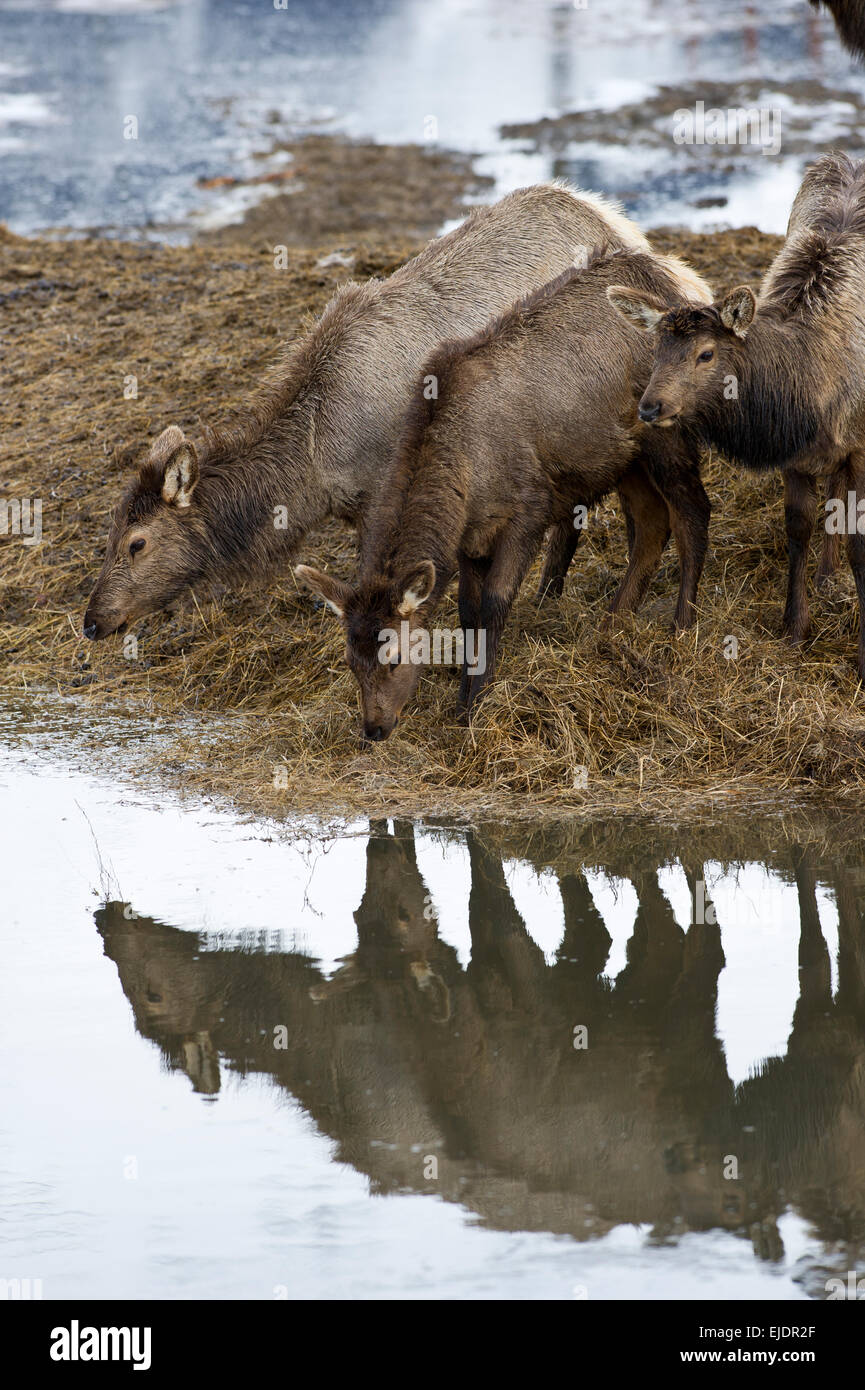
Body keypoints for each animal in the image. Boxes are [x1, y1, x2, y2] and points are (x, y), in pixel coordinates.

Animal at [82, 181, 704, 643]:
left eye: (137, 542)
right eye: (109, 531)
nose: (92, 621)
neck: (318, 470)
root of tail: (628, 230)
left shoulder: (390, 487)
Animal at [295, 245, 713, 741]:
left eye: (393, 658)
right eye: (349, 662)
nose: (374, 728)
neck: (467, 480)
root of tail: (679, 278)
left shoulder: (528, 509)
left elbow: (495, 604)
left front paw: (475, 704)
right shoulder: (471, 537)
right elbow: (467, 610)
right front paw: (462, 696)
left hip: (666, 430)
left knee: (693, 511)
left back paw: (682, 626)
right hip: (622, 457)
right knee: (652, 523)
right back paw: (611, 625)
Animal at [608, 152, 865, 680]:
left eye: (706, 354)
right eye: (656, 348)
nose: (650, 406)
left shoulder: (860, 442)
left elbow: (859, 542)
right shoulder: (797, 453)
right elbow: (798, 527)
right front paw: (795, 628)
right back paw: (826, 575)